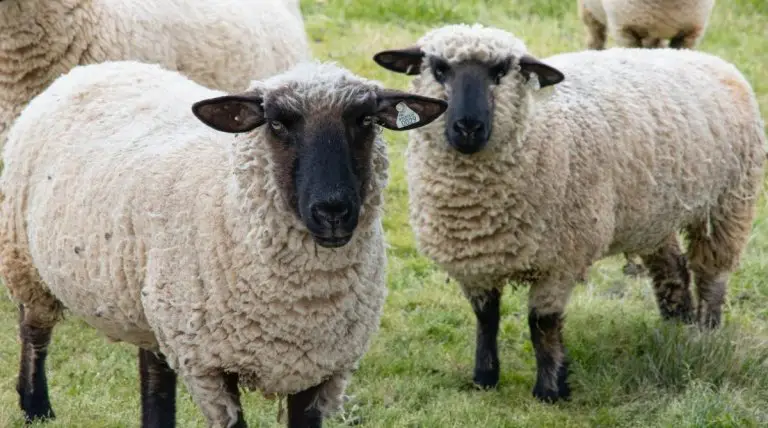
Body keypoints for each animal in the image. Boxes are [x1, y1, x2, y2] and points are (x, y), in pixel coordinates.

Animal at [0, 59, 448, 427]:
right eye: (277, 124)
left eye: (366, 120)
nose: (333, 211)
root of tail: (95, 68)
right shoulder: (209, 368)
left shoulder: (318, 366)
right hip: (24, 260)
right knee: (34, 330)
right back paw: (36, 406)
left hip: (156, 306)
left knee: (154, 373)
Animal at [372, 23, 765, 402]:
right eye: (439, 69)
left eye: (501, 71)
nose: (468, 127)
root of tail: (710, 59)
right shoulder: (474, 258)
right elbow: (486, 318)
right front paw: (484, 378)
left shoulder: (562, 258)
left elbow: (542, 324)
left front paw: (550, 389)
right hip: (653, 213)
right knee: (673, 267)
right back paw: (676, 325)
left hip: (729, 202)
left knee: (712, 273)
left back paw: (706, 331)